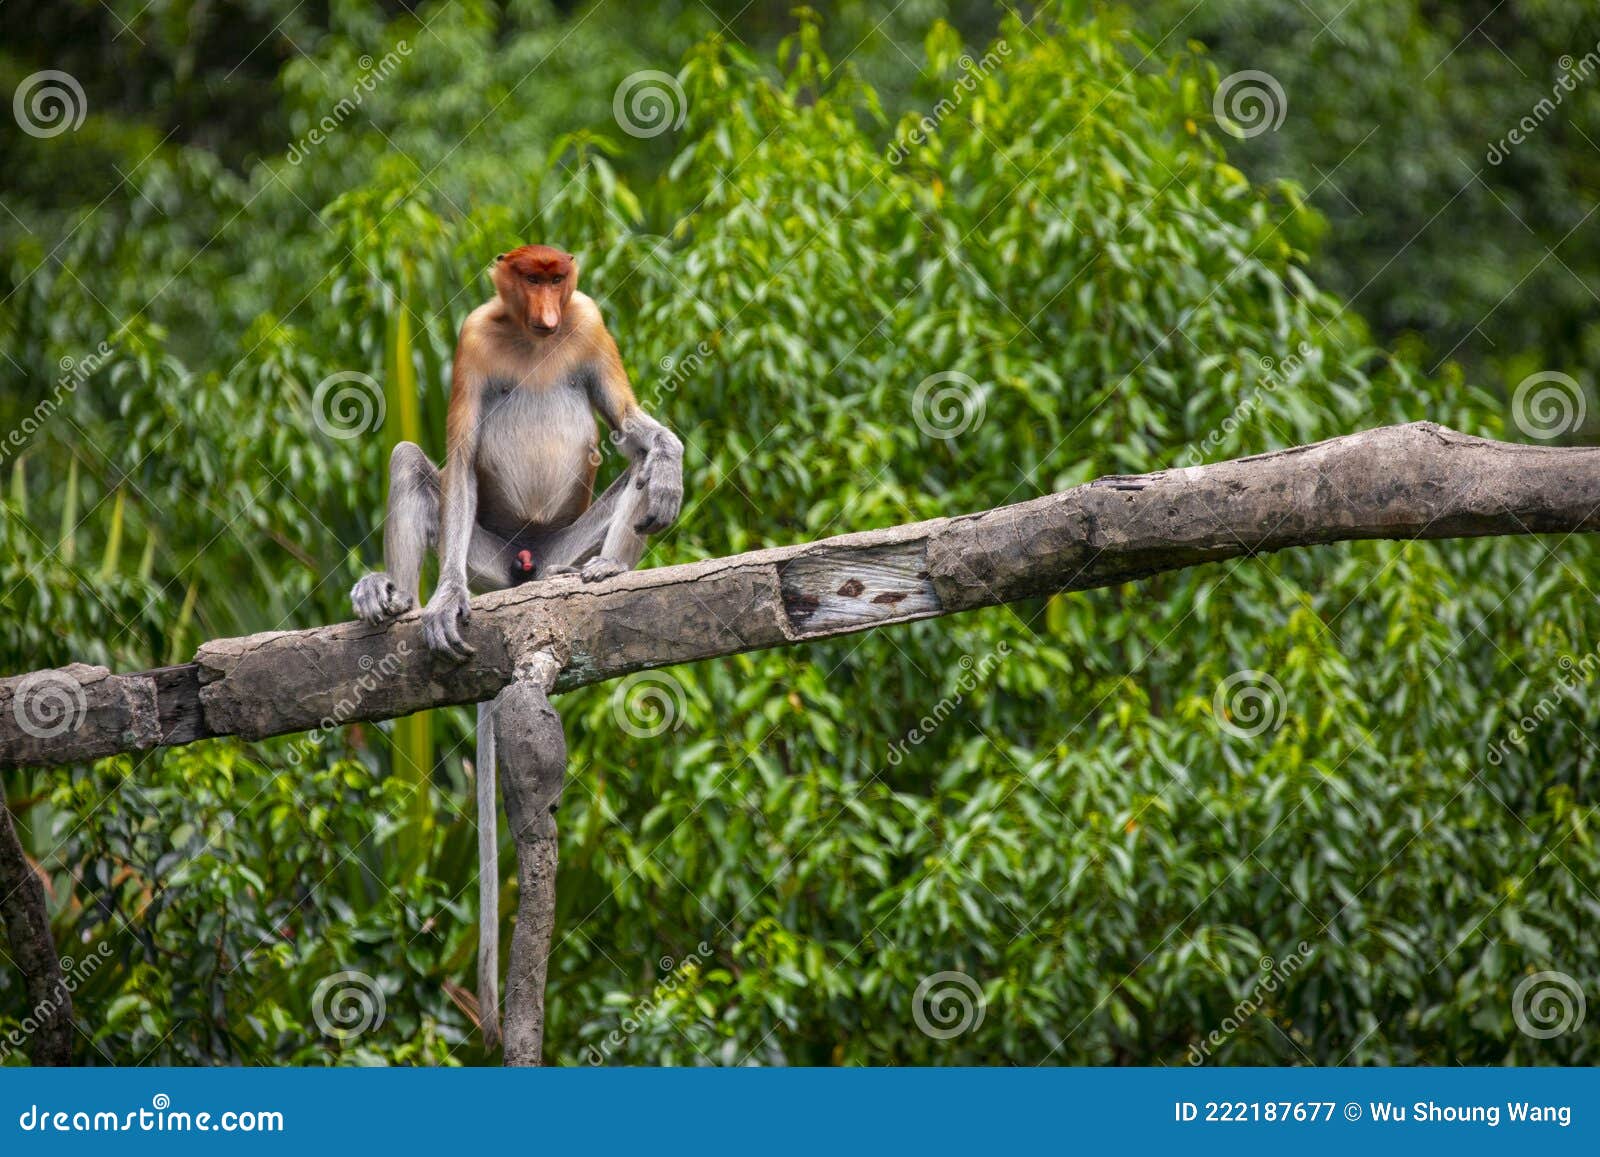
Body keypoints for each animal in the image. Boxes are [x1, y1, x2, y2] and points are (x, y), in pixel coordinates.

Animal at [348, 244, 684, 1051]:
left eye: (559, 278)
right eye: (531, 279)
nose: (549, 312)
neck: (534, 339)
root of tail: (525, 565)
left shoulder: (591, 321)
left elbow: (632, 426)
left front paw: (670, 459)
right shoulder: (474, 336)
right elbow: (460, 454)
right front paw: (439, 604)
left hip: (558, 543)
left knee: (631, 468)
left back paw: (606, 568)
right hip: (488, 557)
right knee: (412, 464)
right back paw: (396, 600)